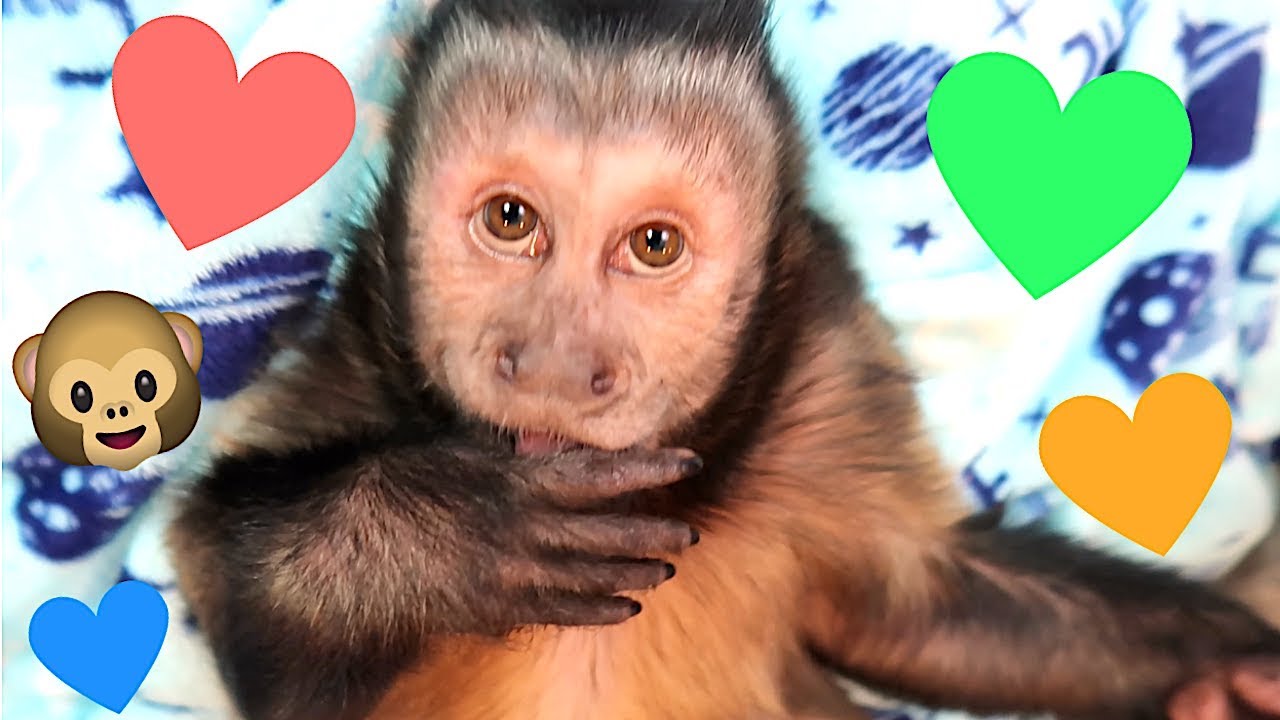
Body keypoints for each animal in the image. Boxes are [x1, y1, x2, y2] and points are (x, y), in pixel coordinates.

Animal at [167, 2, 1280, 720]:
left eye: (653, 245)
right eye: (511, 221)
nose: (558, 364)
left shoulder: (827, 369)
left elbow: (927, 609)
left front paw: (1236, 675)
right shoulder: (349, 352)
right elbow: (270, 667)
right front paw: (448, 536)